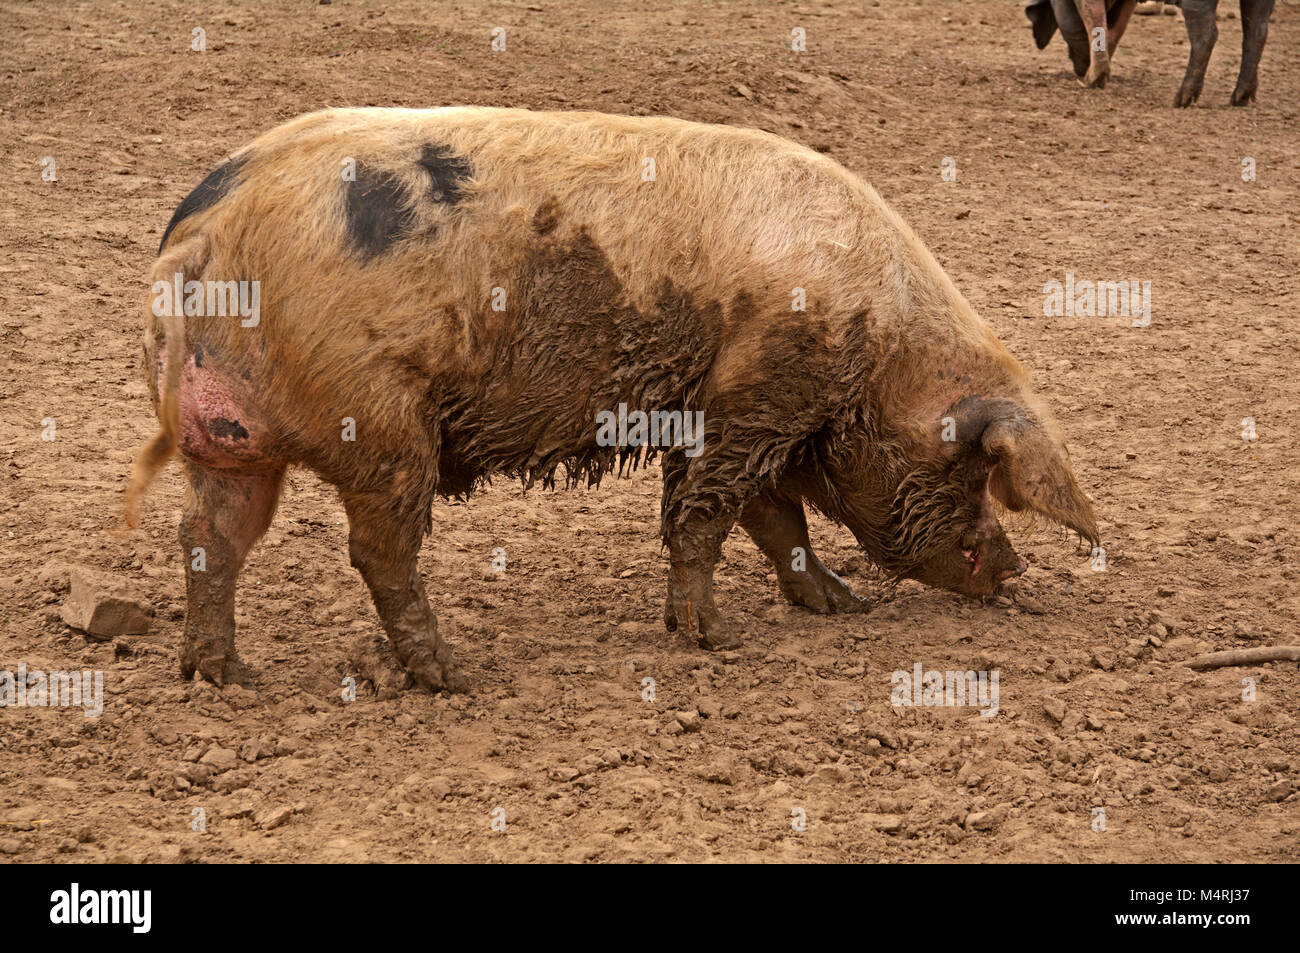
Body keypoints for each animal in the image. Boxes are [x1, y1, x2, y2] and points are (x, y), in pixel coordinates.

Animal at [125, 107, 1099, 693]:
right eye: (972, 467)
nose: (1014, 567)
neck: (879, 349)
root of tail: (201, 230)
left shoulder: (734, 411)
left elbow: (771, 518)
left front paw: (841, 605)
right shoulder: (760, 395)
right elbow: (712, 512)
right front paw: (714, 640)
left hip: (233, 437)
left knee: (208, 536)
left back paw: (221, 675)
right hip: (382, 423)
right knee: (378, 551)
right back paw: (454, 674)